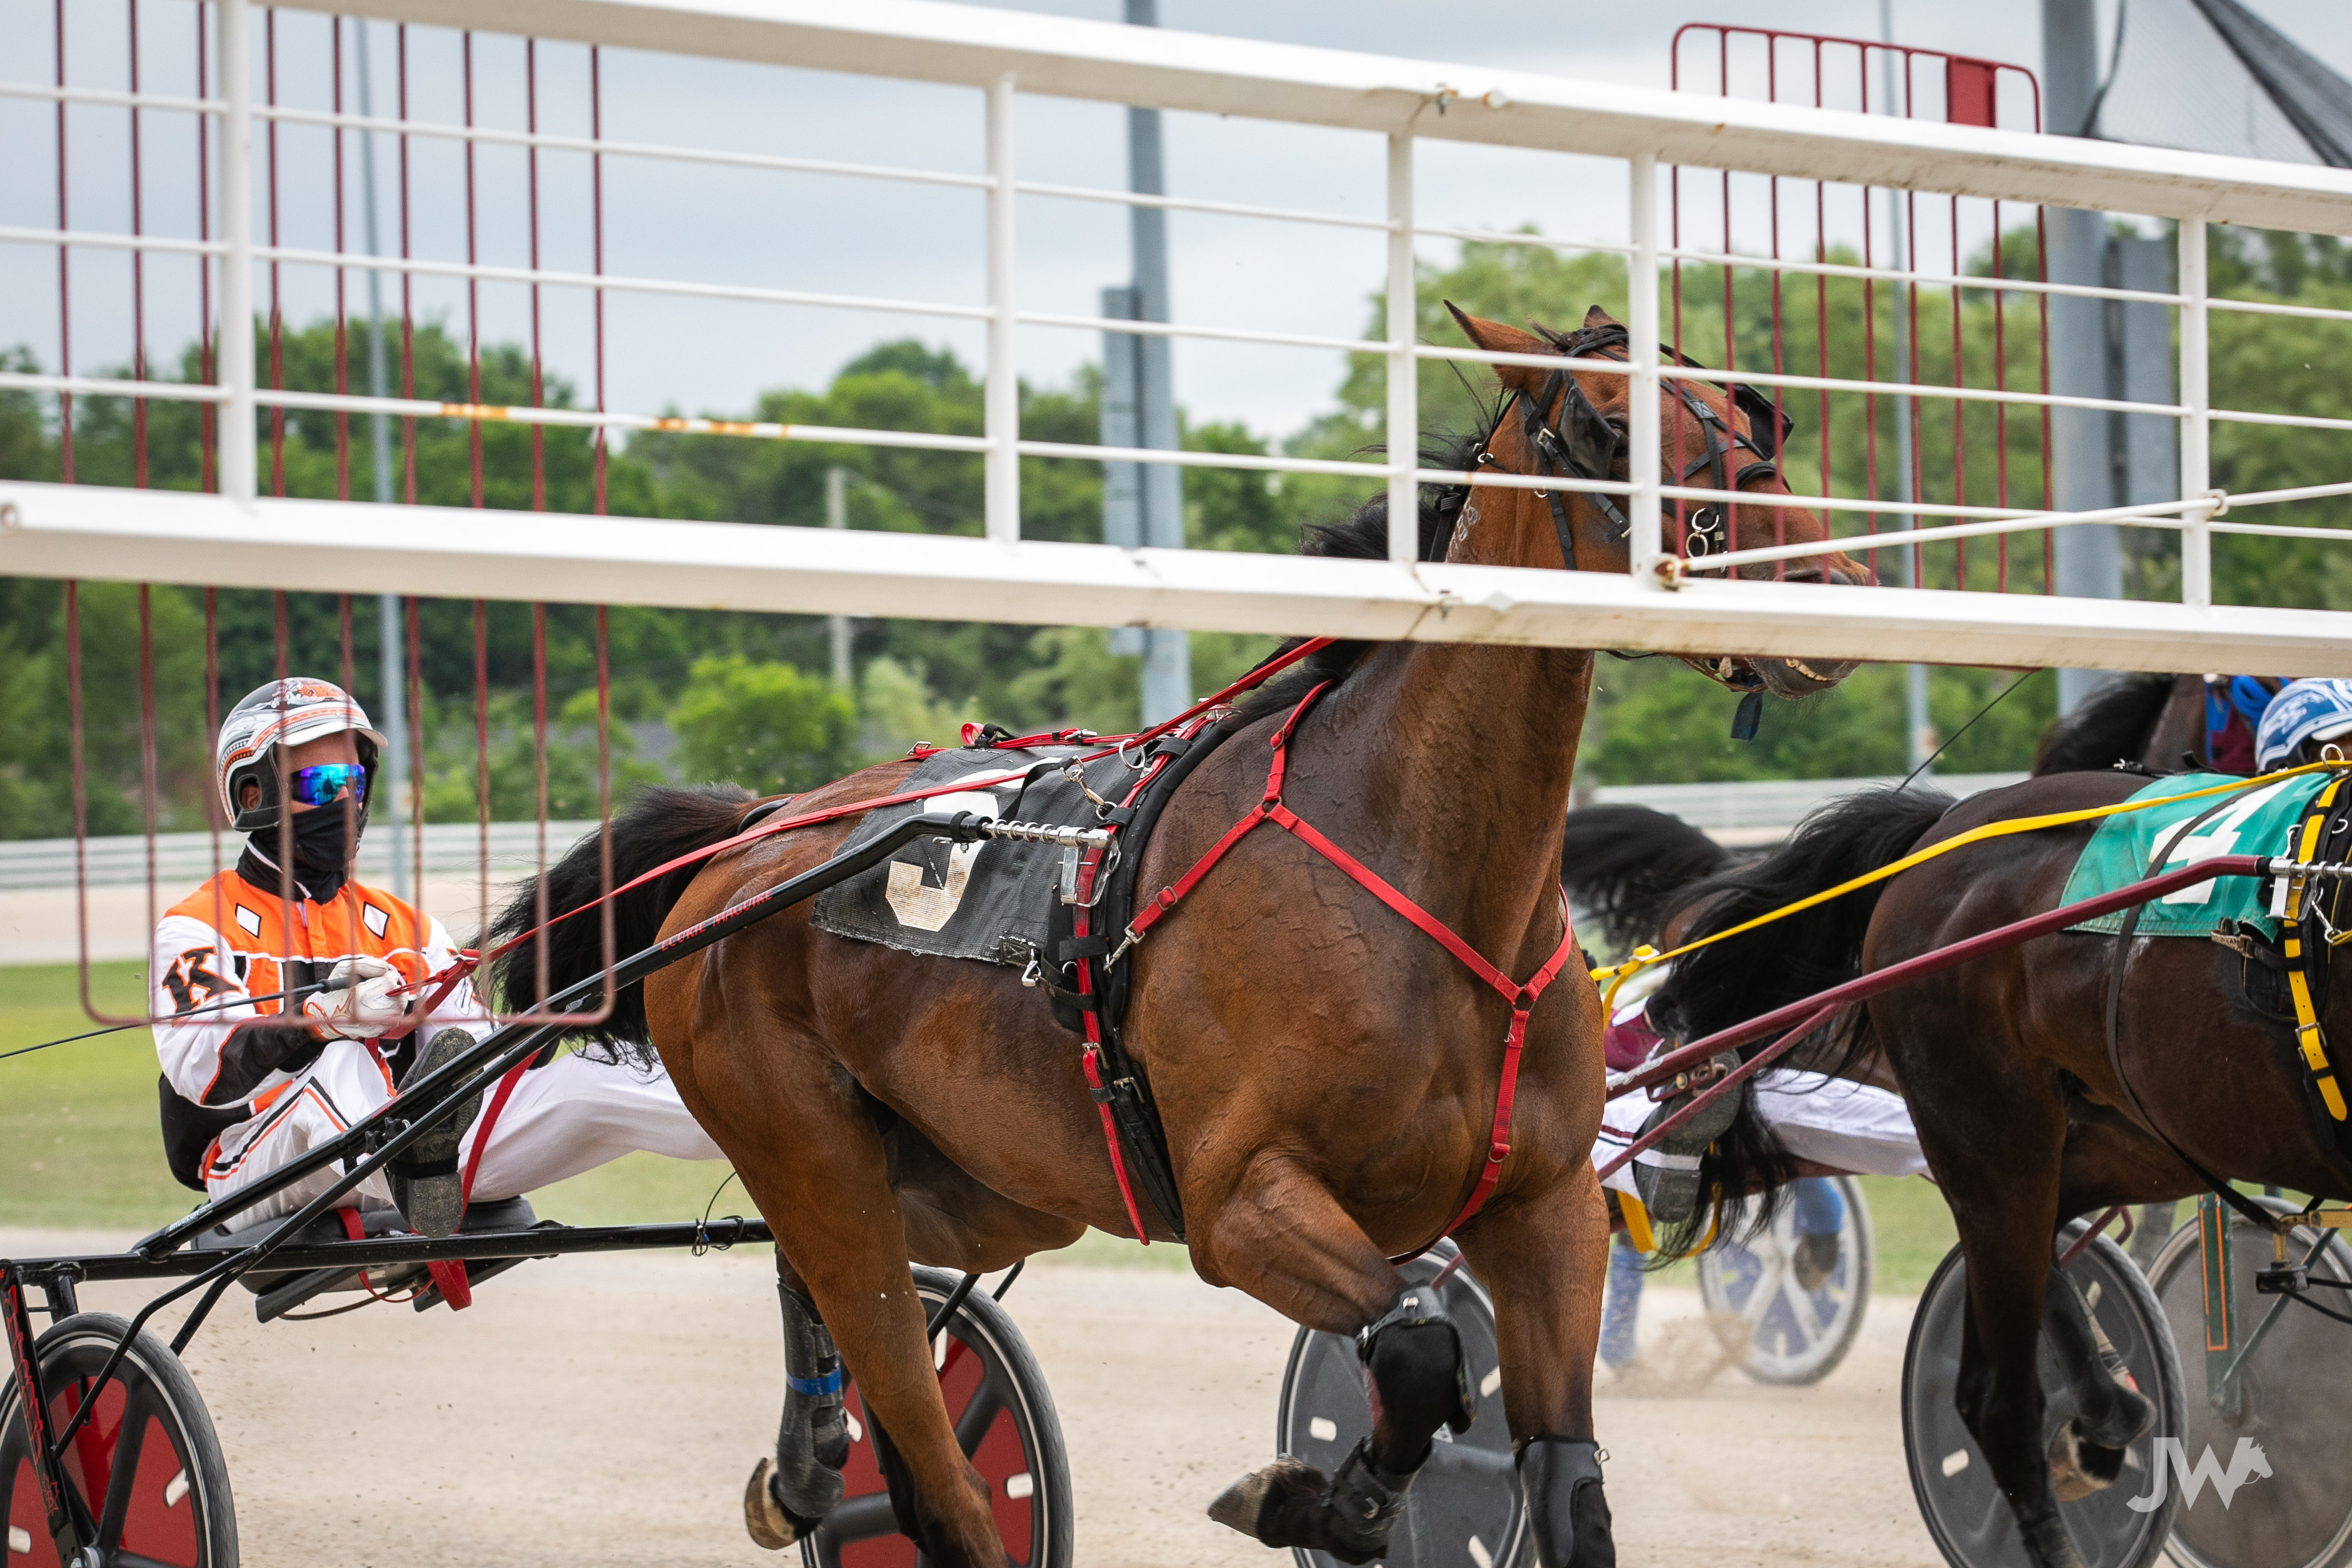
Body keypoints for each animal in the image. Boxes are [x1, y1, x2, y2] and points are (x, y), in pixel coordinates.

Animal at [488, 305, 1864, 1568]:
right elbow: (1417, 1347)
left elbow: (1565, 1479)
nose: (1834, 585)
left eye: (1751, 416)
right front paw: (1315, 1499)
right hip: (813, 1153)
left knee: (826, 1284)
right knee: (920, 1439)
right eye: (1610, 428)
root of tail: (754, 836)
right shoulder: (1239, 1202)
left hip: (986, 1183)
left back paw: (809, 1460)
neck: (1407, 862)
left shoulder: (1544, 1209)